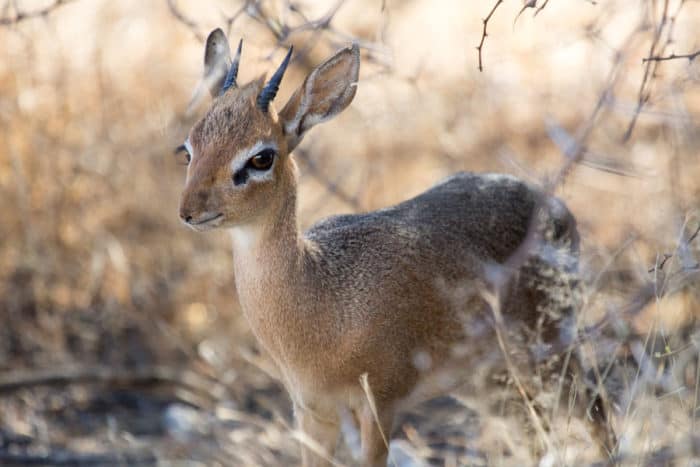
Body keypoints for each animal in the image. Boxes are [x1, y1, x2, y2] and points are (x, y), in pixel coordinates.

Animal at [178, 28, 611, 466]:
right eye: (189, 148)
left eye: (261, 158)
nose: (189, 211)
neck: (320, 298)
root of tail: (552, 205)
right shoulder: (313, 411)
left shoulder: (381, 404)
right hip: (488, 381)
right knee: (535, 430)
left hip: (551, 351)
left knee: (594, 409)